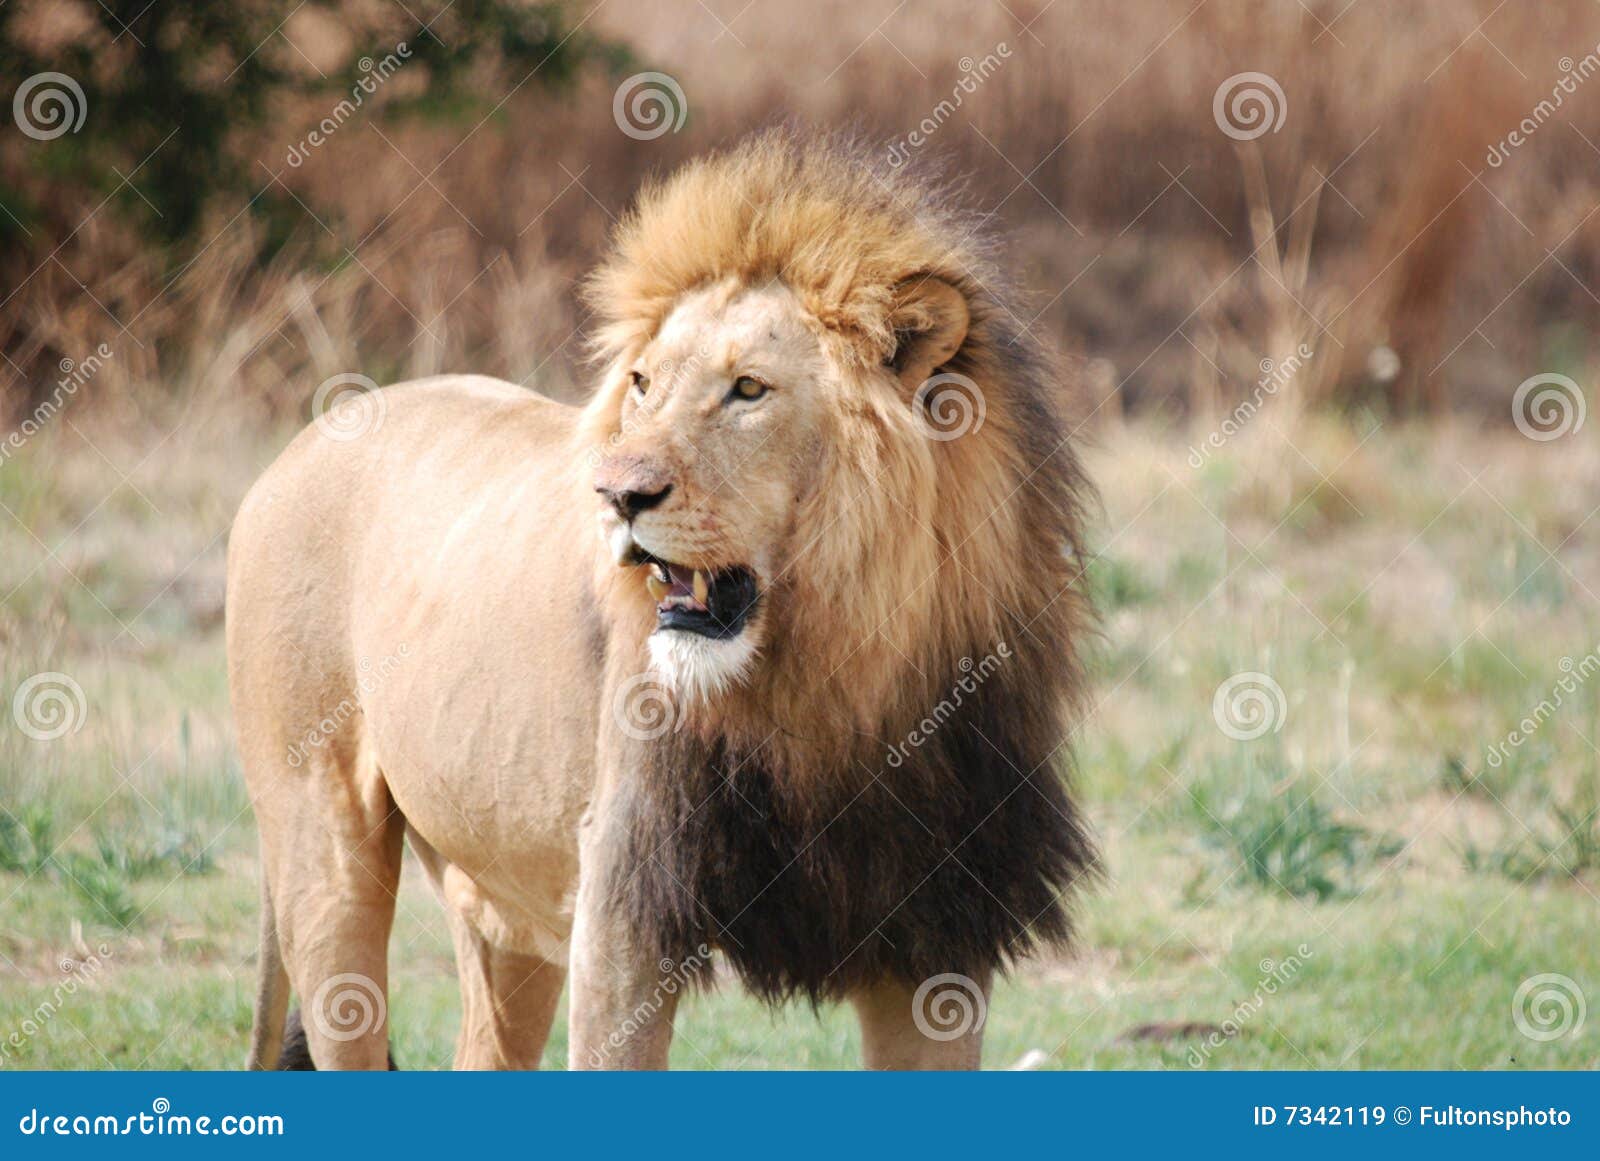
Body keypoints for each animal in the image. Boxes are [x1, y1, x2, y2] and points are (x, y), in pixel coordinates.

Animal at [227, 129, 1096, 1071]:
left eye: (748, 389)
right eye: (641, 382)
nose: (616, 493)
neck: (830, 677)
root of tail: (304, 439)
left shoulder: (937, 935)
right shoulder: (625, 910)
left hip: (496, 896)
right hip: (323, 847)